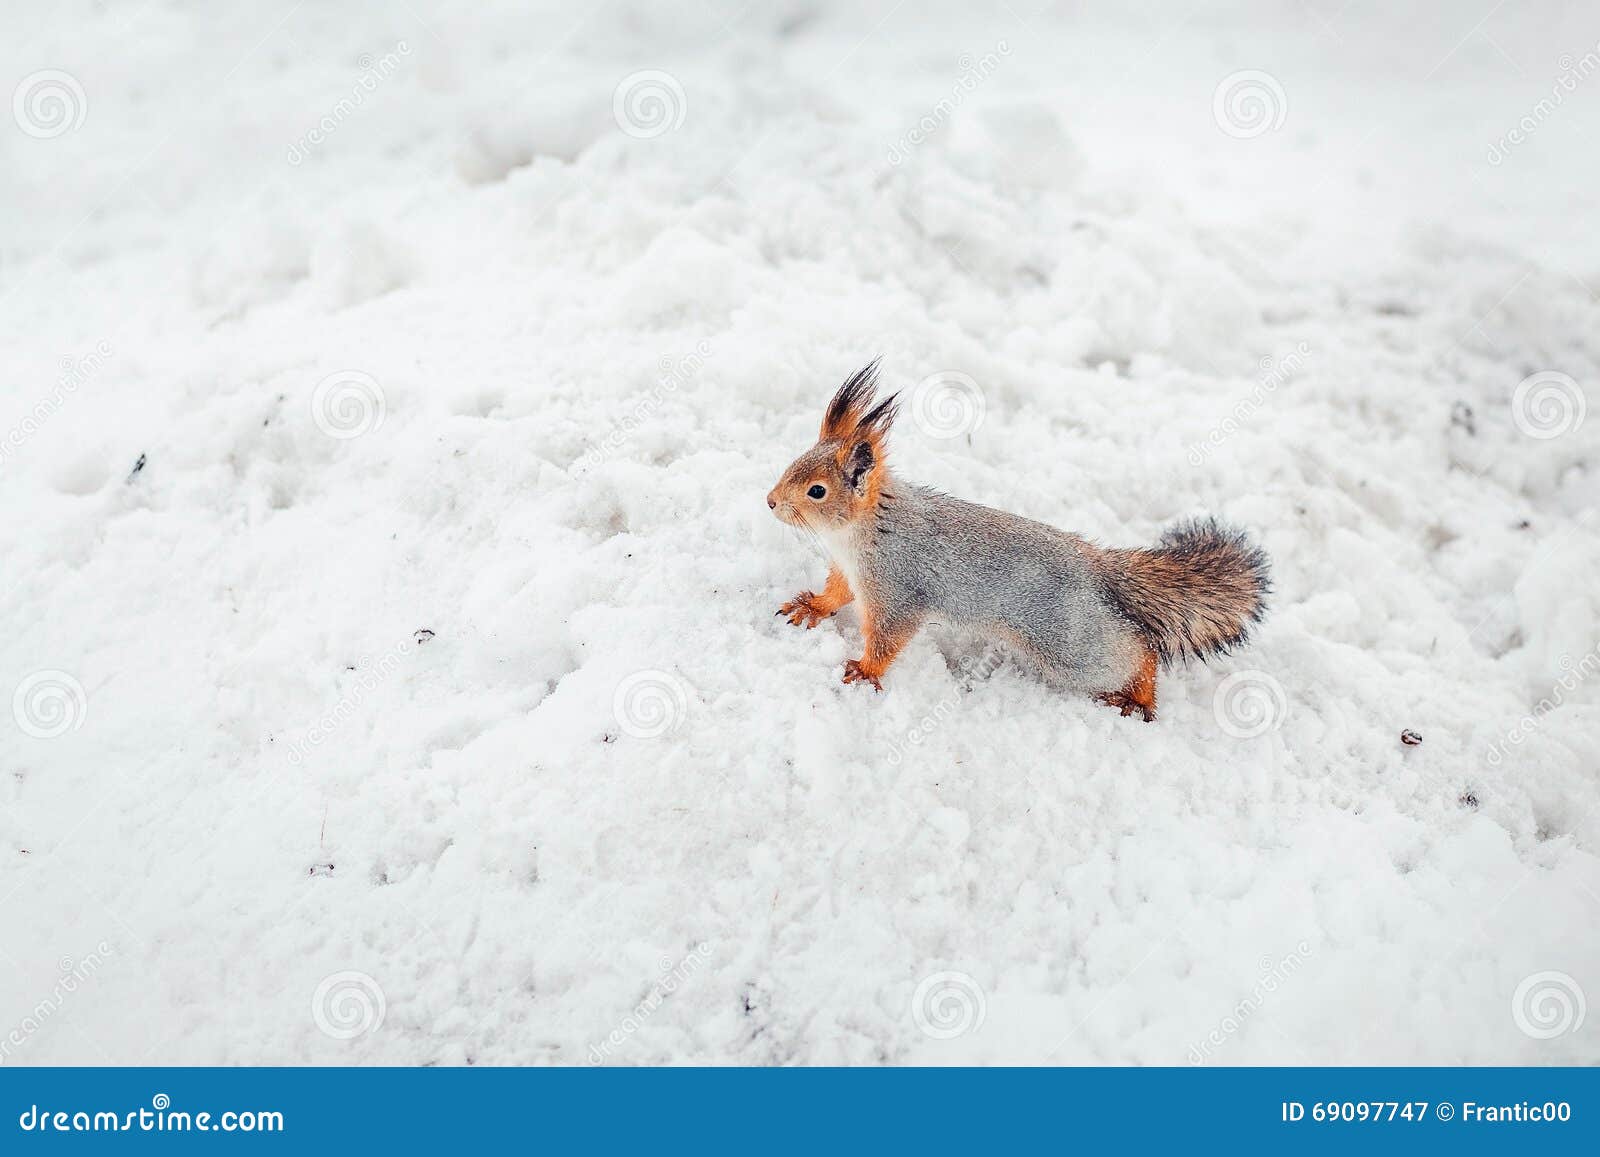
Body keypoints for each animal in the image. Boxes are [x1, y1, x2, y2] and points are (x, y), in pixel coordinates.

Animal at [766, 362, 1270, 721]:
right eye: (794, 462)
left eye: (816, 491)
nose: (770, 502)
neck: (861, 530)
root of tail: (1098, 568)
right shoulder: (849, 571)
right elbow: (836, 593)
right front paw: (810, 607)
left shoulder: (897, 585)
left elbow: (888, 637)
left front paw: (864, 670)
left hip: (1067, 641)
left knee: (1137, 652)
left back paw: (1138, 699)